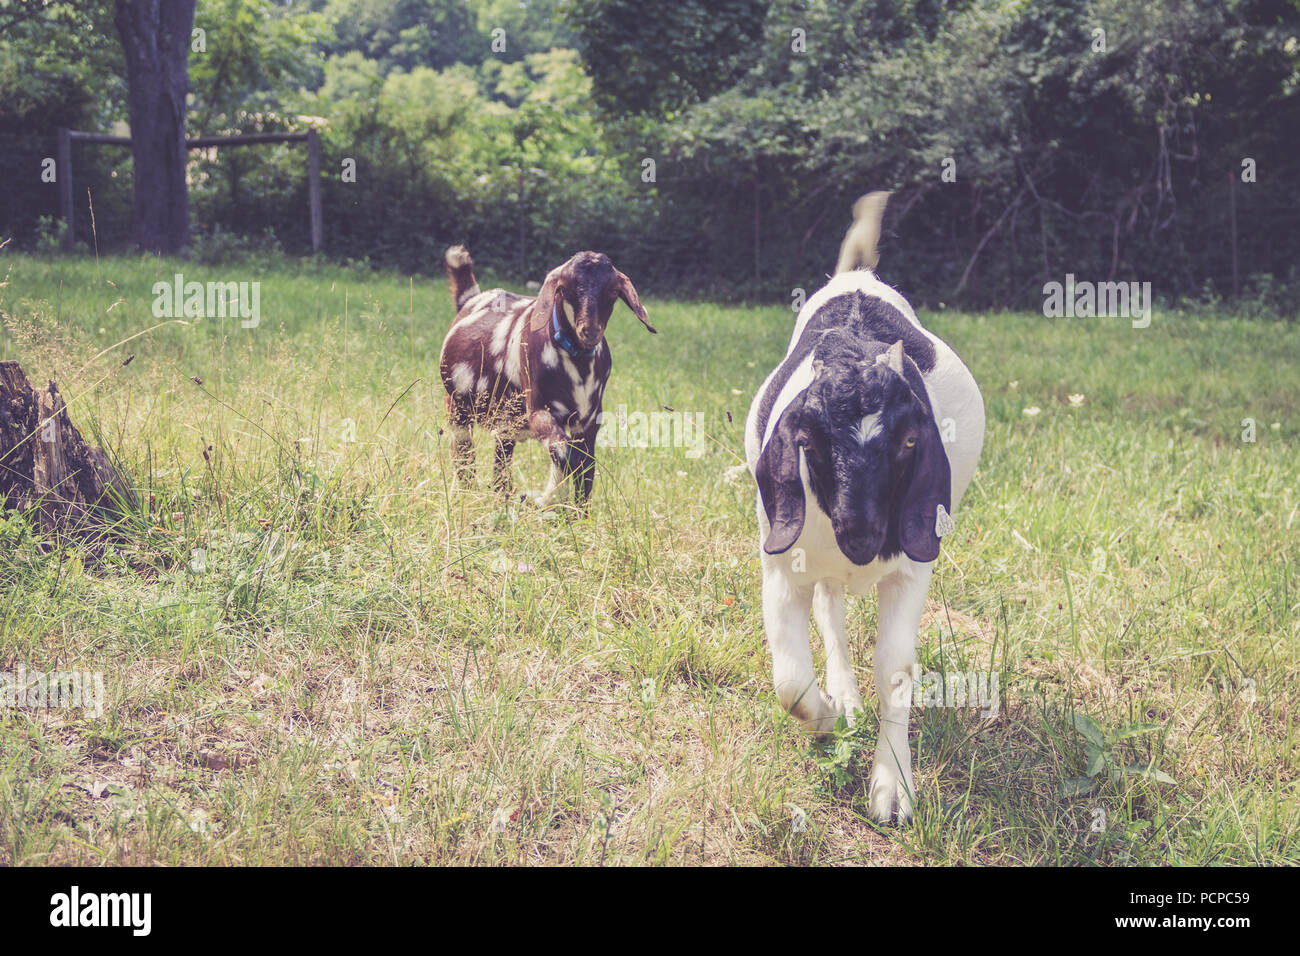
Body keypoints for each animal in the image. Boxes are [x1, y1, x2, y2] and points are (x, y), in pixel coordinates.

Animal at [439, 246, 655, 505]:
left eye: (613, 290)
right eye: (564, 288)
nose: (589, 331)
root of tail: (469, 300)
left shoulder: (589, 422)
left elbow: (586, 471)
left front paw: (573, 512)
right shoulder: (540, 412)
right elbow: (565, 455)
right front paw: (547, 498)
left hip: (505, 424)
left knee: (501, 464)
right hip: (457, 409)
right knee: (463, 457)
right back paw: (469, 496)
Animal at [743, 195, 984, 824]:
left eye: (909, 442)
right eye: (809, 440)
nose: (863, 535)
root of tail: (858, 278)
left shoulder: (912, 568)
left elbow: (895, 667)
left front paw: (892, 784)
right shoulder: (783, 563)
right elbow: (789, 681)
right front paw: (827, 716)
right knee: (829, 607)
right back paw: (844, 697)